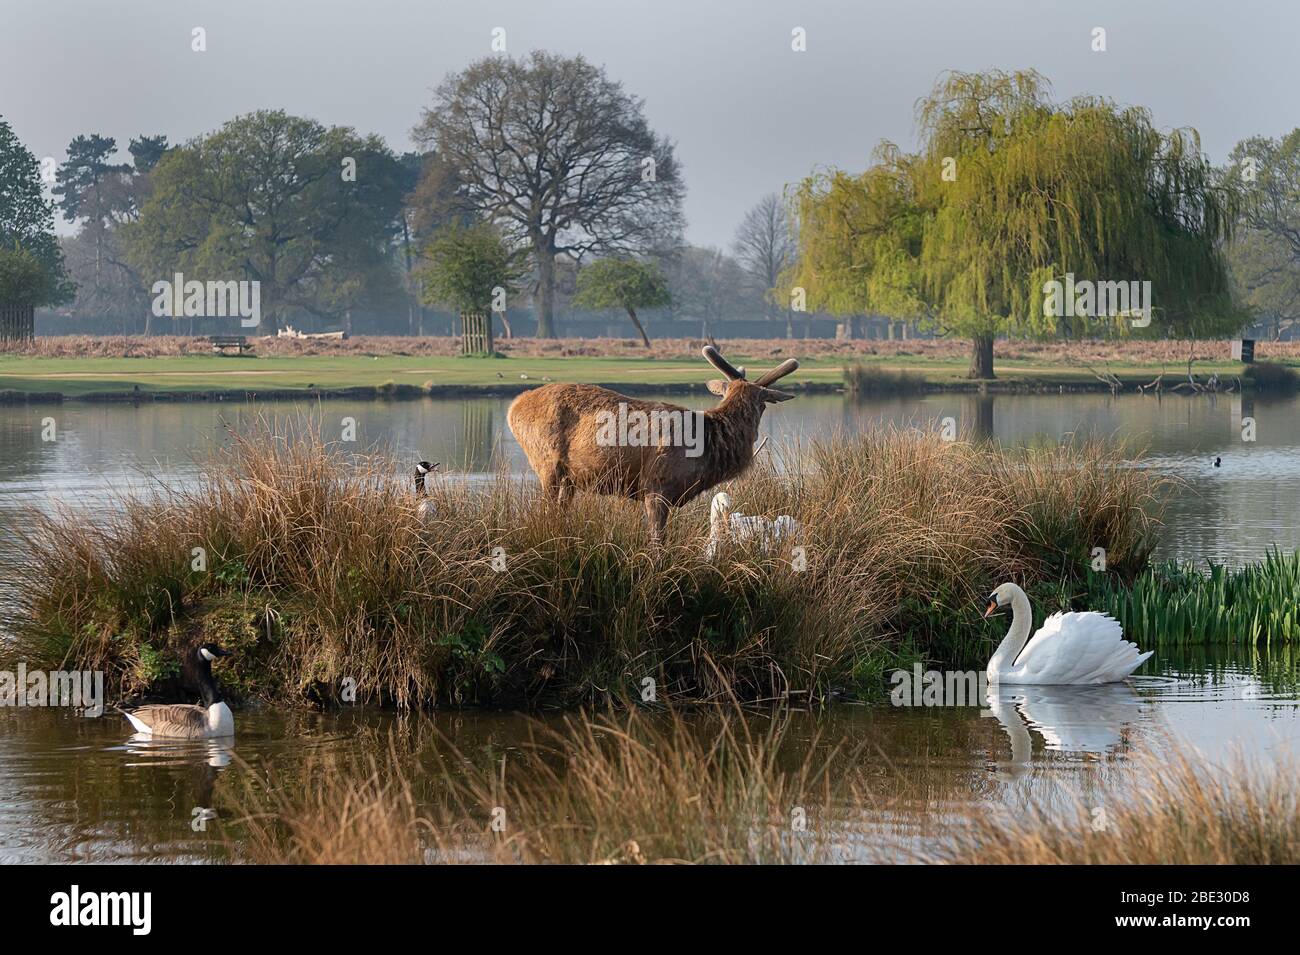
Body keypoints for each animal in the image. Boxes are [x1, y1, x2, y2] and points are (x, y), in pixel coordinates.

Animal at [506, 346, 800, 541]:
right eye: (763, 403)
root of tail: (514, 406)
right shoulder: (657, 484)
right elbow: (658, 541)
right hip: (546, 463)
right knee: (546, 509)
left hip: (570, 477)